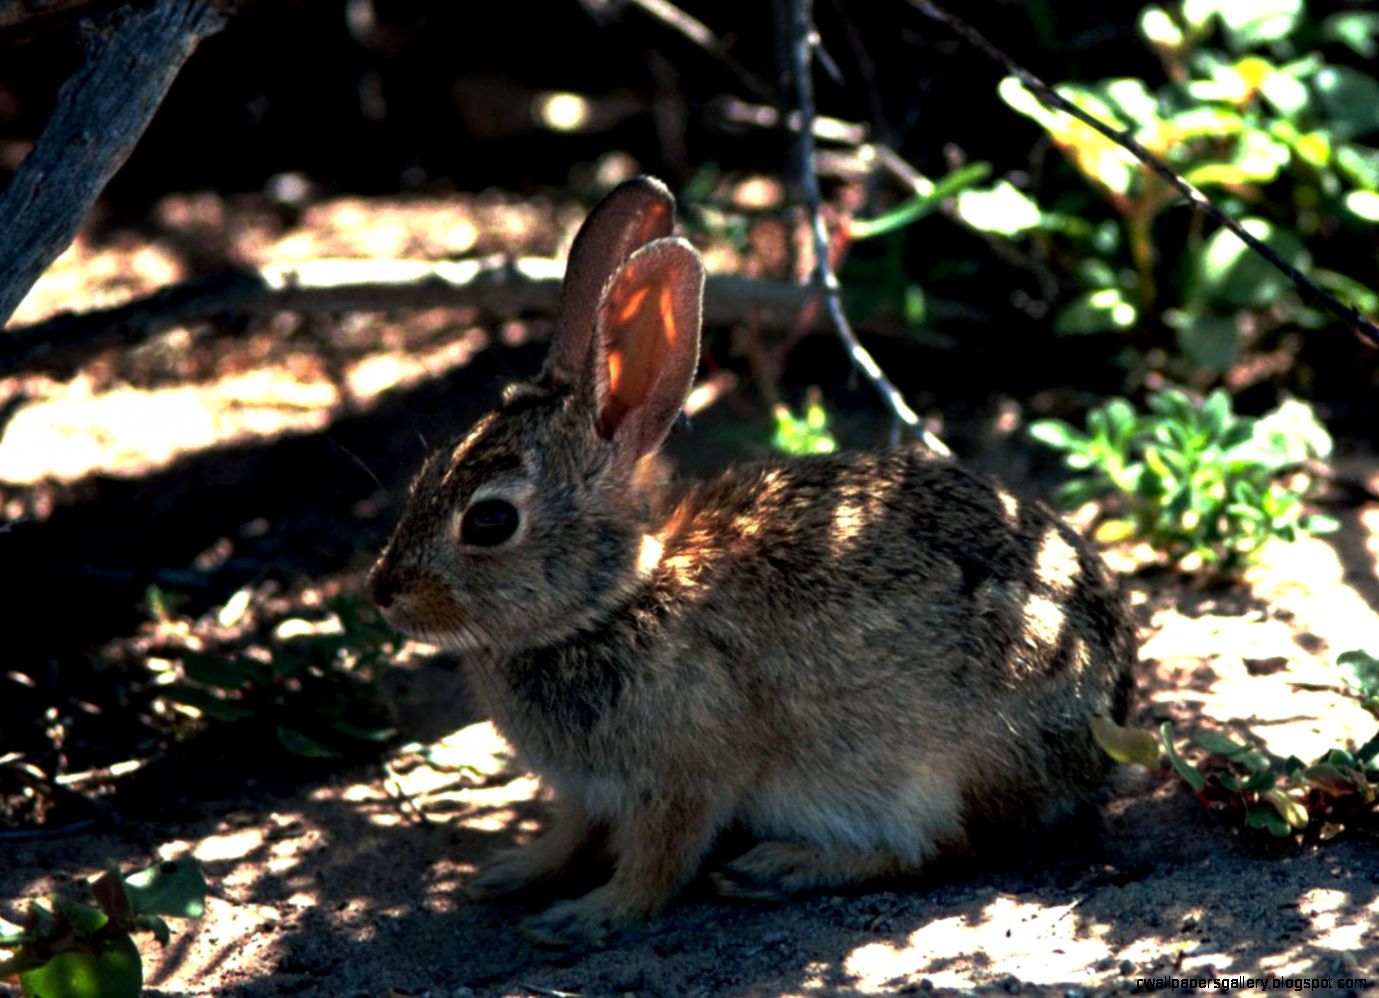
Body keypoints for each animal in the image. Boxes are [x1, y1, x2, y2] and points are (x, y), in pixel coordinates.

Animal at [368, 176, 1138, 948]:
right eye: (429, 472)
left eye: (490, 521)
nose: (383, 593)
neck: (616, 603)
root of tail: (1109, 713)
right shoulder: (586, 794)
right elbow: (570, 837)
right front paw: (508, 874)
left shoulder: (682, 777)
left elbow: (657, 864)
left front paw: (585, 917)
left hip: (937, 767)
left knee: (948, 849)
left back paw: (779, 867)